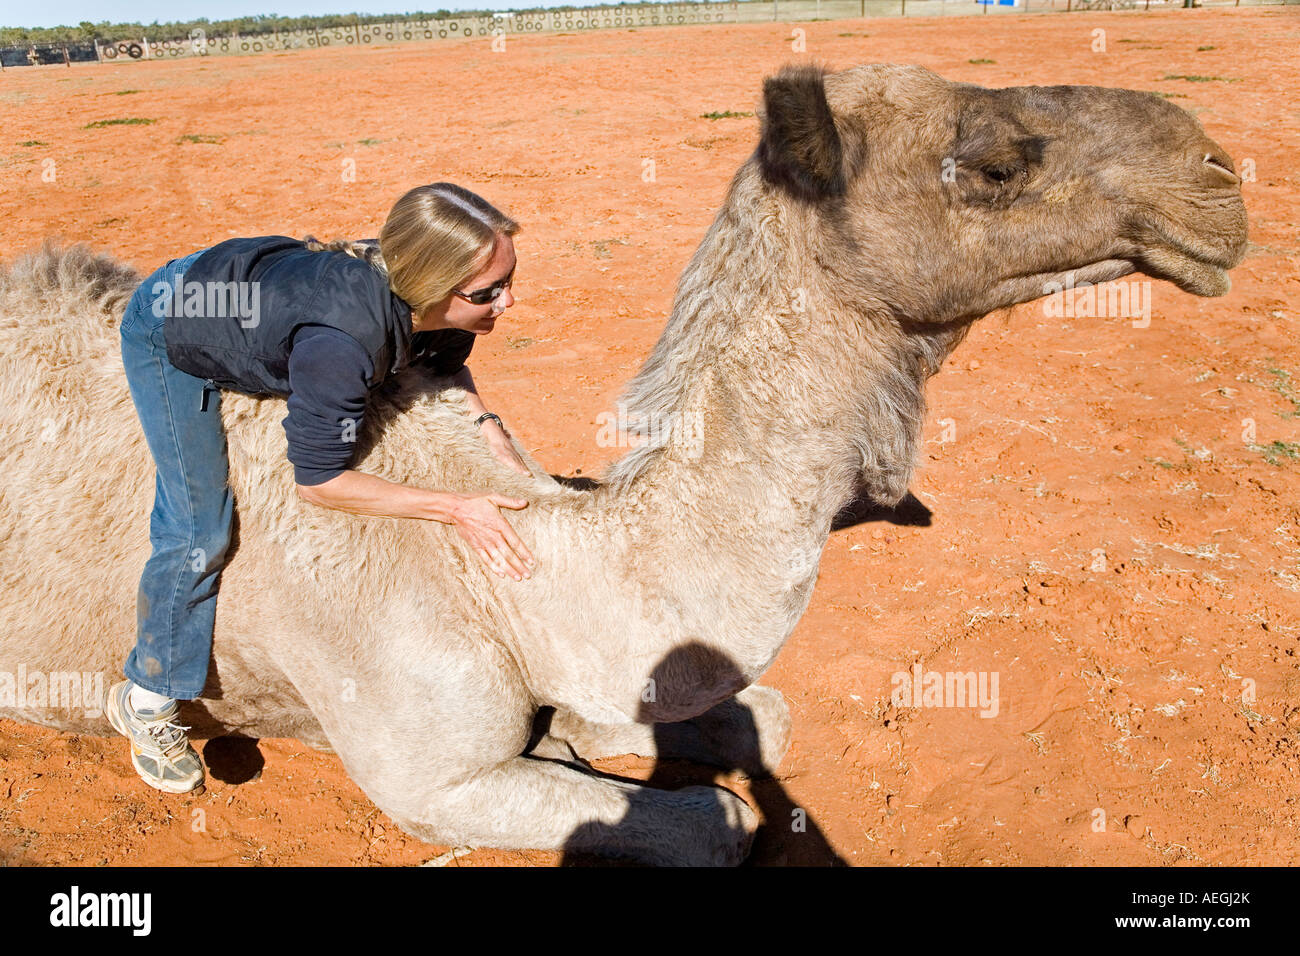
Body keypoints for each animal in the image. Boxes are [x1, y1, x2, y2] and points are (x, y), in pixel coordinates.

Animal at [0, 63, 1246, 865]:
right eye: (989, 164)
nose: (1218, 174)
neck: (525, 572)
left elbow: (753, 716)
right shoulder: (429, 774)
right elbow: (718, 820)